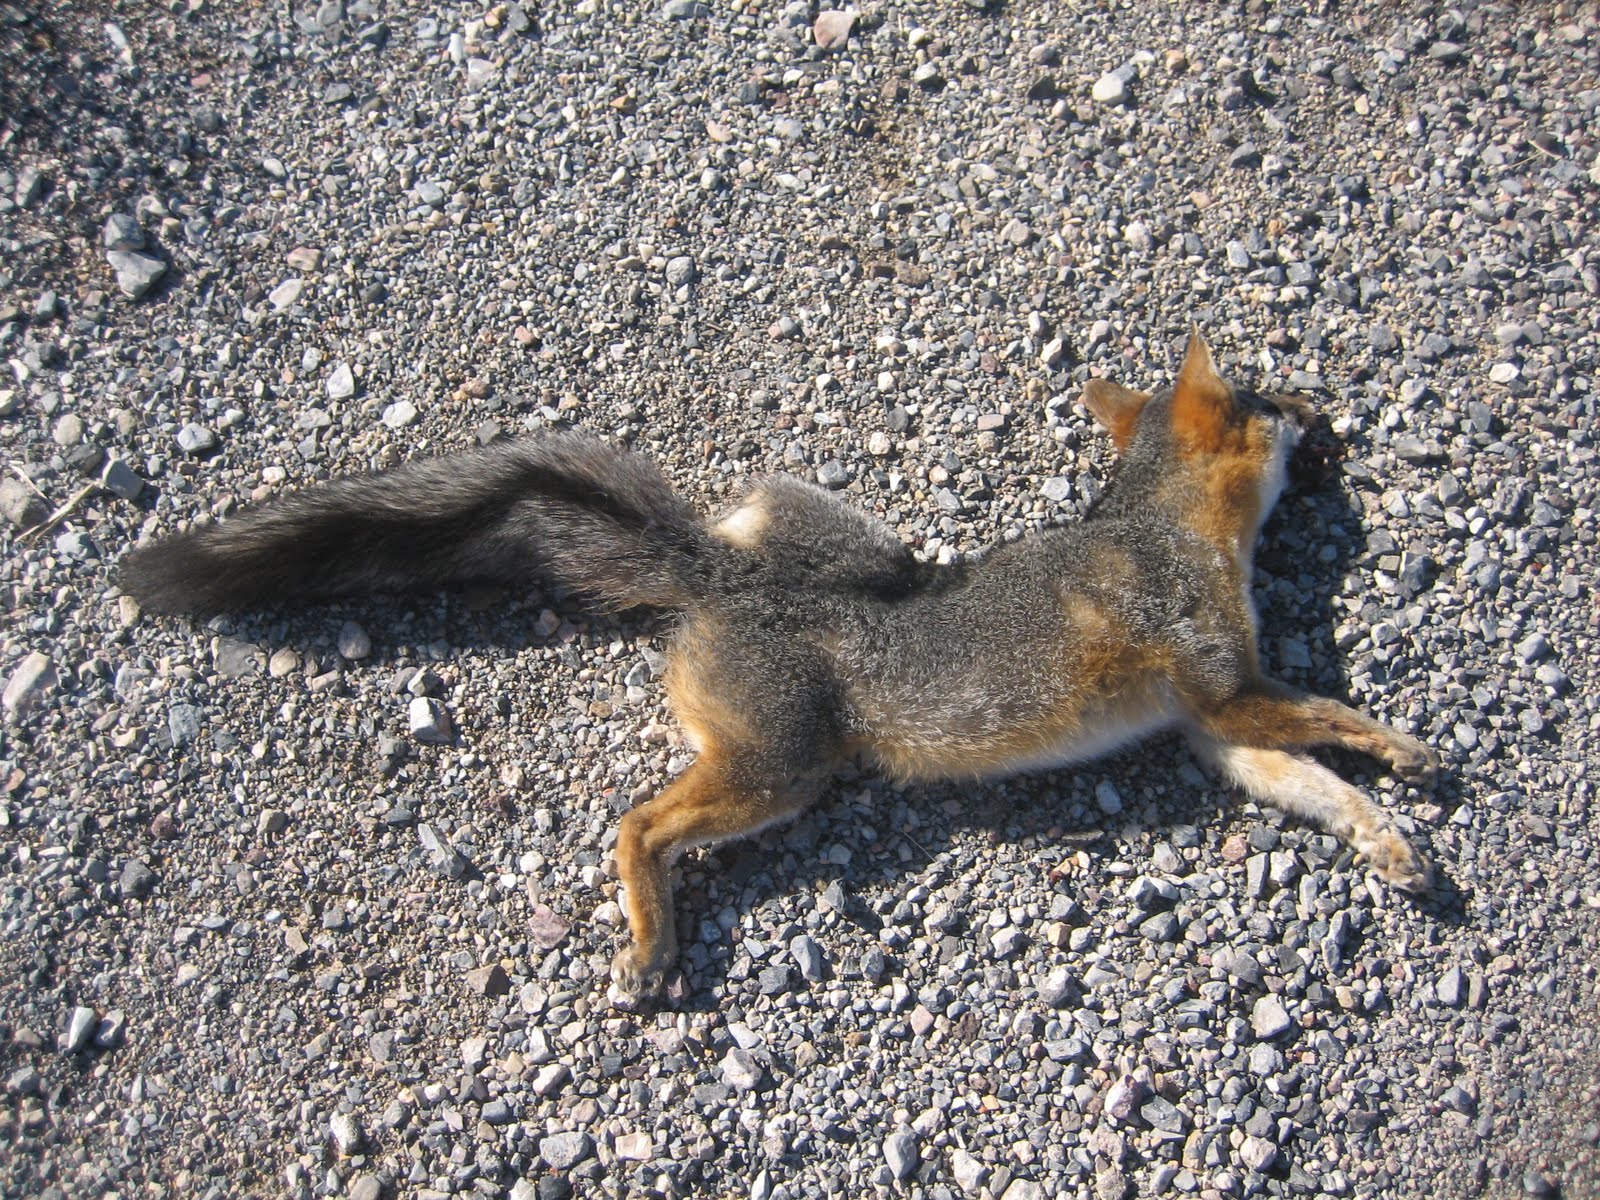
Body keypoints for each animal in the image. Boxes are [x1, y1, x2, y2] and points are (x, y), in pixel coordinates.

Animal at [119, 333, 1438, 1000]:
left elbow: (1312, 785)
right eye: (1269, 403)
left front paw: (1384, 838)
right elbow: (1324, 711)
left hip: (804, 540)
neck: (1167, 530)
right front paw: (1402, 746)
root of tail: (724, 577)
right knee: (638, 822)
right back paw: (649, 939)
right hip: (781, 773)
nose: (1328, 416)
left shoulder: (1214, 732)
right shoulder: (1220, 686)